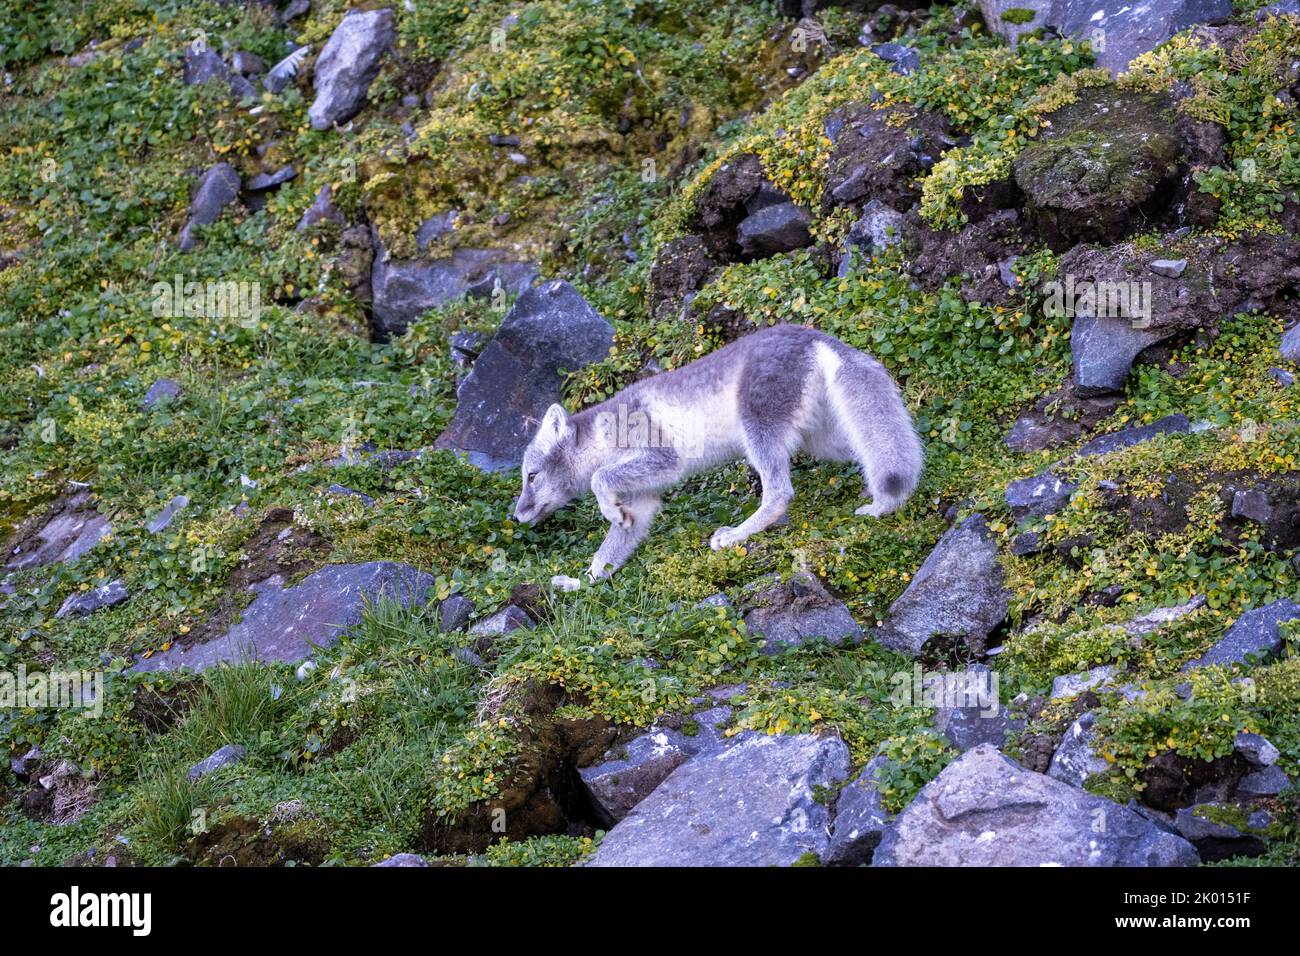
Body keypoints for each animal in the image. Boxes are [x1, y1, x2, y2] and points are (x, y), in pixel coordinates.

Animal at [512, 323, 923, 580]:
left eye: (531, 476)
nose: (517, 516)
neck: (599, 437)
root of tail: (815, 338)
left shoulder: (661, 457)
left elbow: (600, 477)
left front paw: (607, 508)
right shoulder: (643, 497)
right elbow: (614, 546)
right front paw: (586, 580)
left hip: (757, 426)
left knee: (779, 493)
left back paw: (737, 535)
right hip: (821, 440)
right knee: (873, 451)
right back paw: (881, 502)